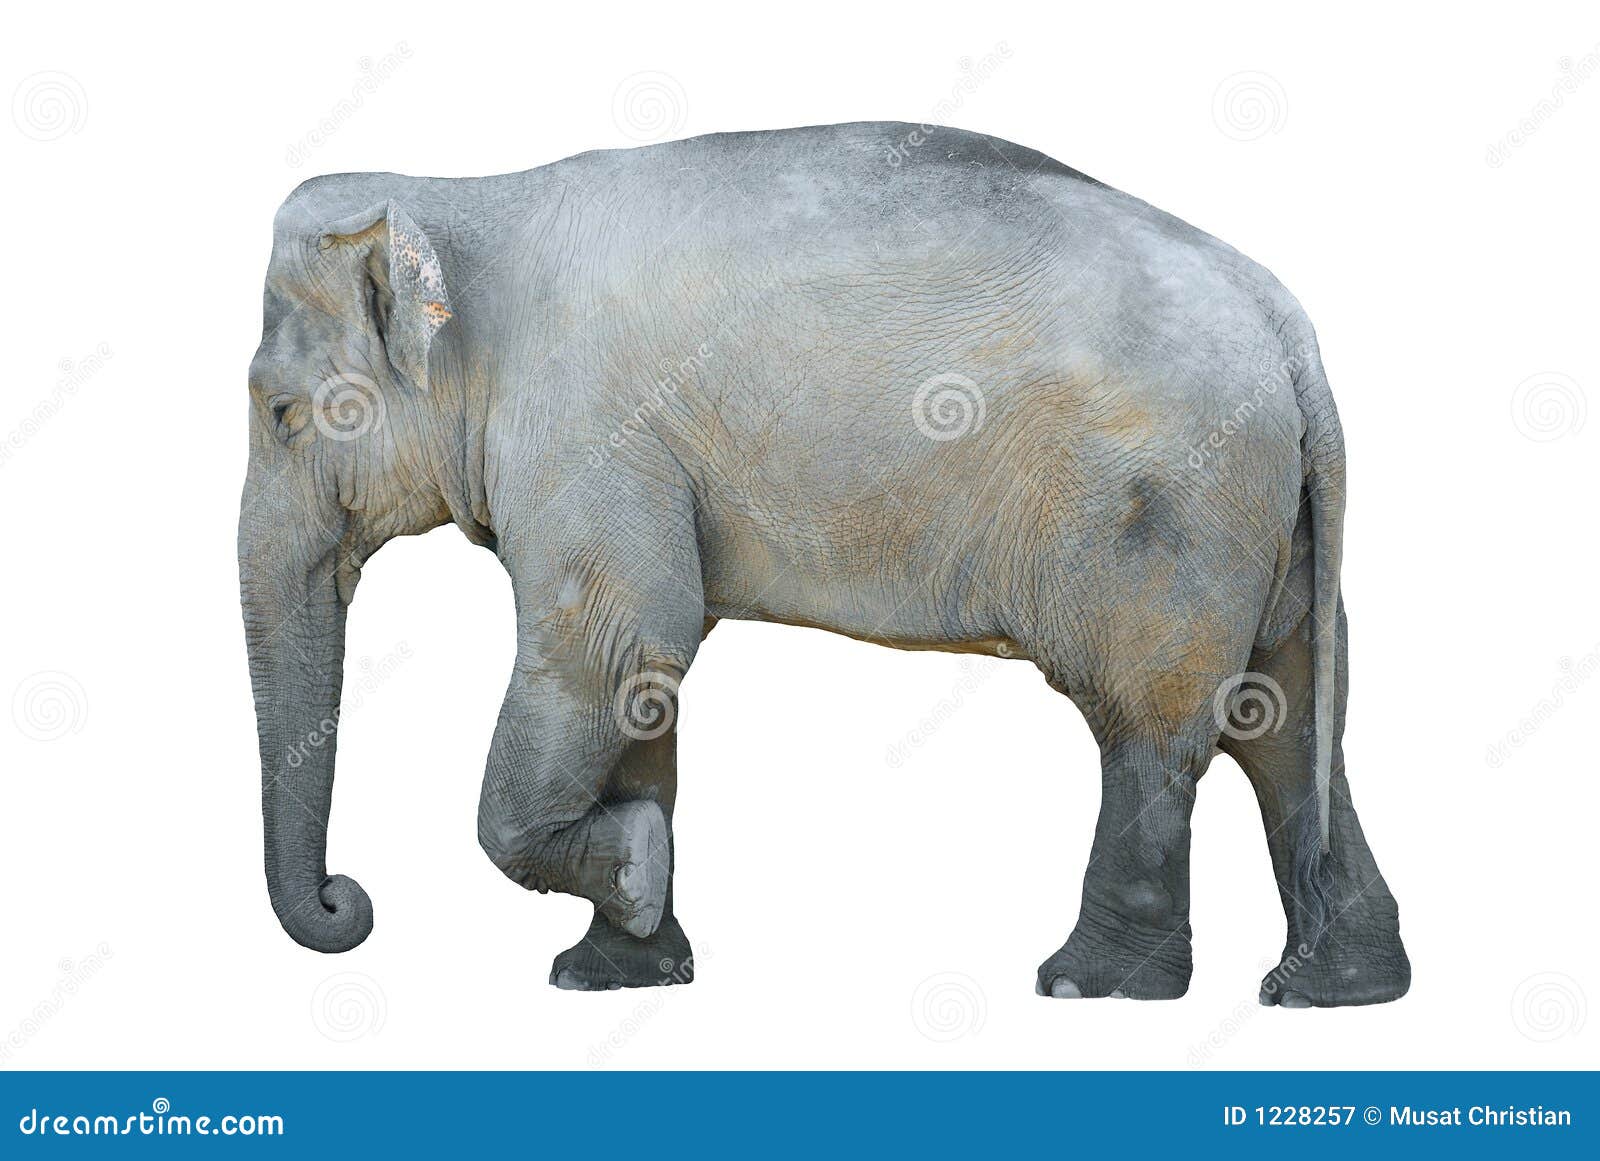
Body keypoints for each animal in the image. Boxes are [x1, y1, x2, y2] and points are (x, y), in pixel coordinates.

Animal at [239, 121, 1409, 1007]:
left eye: (282, 413)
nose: (348, 899)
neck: (464, 195)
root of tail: (1290, 330)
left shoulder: (589, 436)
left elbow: (616, 645)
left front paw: (632, 876)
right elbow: (645, 678)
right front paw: (615, 963)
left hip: (1165, 513)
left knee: (1155, 723)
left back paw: (1091, 986)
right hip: (1267, 520)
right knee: (1285, 719)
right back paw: (1333, 990)